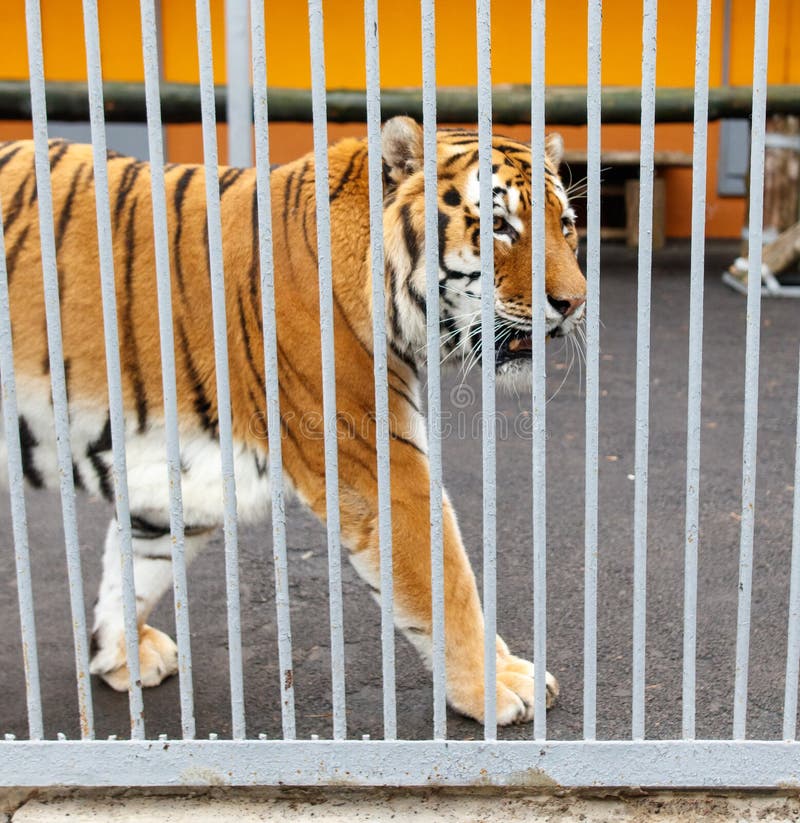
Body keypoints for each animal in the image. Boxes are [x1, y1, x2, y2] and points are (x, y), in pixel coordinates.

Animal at [0, 115, 585, 727]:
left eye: (566, 226)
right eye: (498, 226)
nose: (575, 302)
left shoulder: (174, 478)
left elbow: (135, 568)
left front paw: (122, 656)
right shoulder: (373, 460)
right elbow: (444, 577)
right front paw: (497, 684)